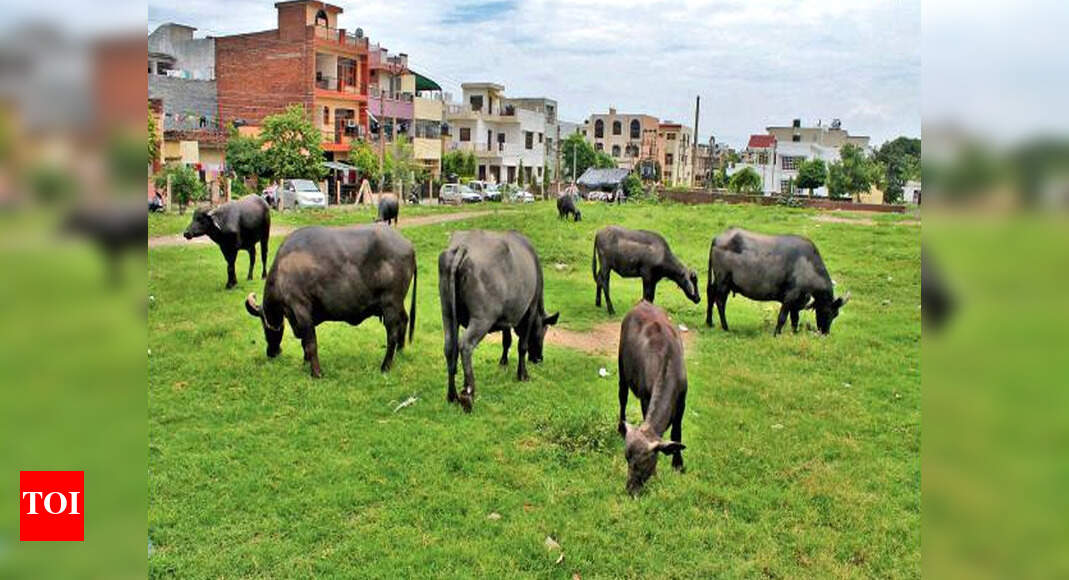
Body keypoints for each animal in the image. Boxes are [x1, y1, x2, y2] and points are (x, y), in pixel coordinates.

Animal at [243, 224, 417, 377]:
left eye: (264, 326)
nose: (272, 352)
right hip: (398, 302)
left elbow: (310, 342)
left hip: (390, 304)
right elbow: (304, 342)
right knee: (404, 319)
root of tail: (408, 245)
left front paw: (316, 373)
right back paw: (400, 351)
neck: (282, 270)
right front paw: (305, 363)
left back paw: (385, 367)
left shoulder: (301, 309)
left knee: (392, 334)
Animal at [439, 230, 559, 412]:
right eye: (544, 331)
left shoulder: (506, 317)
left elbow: (506, 339)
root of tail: (463, 247)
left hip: (447, 314)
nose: (539, 358)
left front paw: (503, 361)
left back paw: (452, 395)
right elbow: (522, 346)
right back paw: (468, 394)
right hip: (482, 318)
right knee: (465, 346)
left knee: (450, 347)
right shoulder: (530, 310)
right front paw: (522, 374)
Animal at [617, 301, 688, 495]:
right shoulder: (645, 398)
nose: (631, 489)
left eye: (643, 462)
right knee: (622, 398)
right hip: (622, 369)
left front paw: (678, 464)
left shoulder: (682, 402)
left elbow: (677, 431)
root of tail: (643, 302)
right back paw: (620, 427)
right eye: (627, 459)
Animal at [706, 227, 850, 335]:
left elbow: (795, 320)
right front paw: (776, 334)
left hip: (719, 281)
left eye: (836, 315)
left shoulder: (796, 303)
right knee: (720, 302)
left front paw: (794, 333)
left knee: (711, 294)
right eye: (827, 312)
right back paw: (725, 327)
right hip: (723, 281)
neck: (809, 266)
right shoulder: (790, 297)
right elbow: (782, 318)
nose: (825, 333)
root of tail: (717, 238)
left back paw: (709, 322)